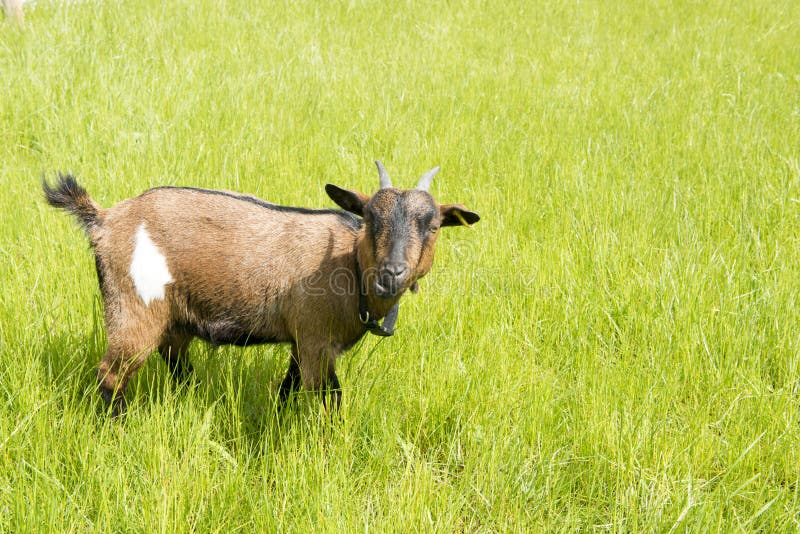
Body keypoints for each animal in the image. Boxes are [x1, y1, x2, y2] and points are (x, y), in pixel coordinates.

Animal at [43, 162, 480, 416]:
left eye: (433, 225)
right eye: (370, 217)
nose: (392, 272)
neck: (348, 265)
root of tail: (105, 219)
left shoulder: (302, 339)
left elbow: (288, 387)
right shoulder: (317, 339)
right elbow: (330, 397)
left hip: (173, 318)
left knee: (176, 362)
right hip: (133, 307)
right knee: (112, 374)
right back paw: (116, 425)